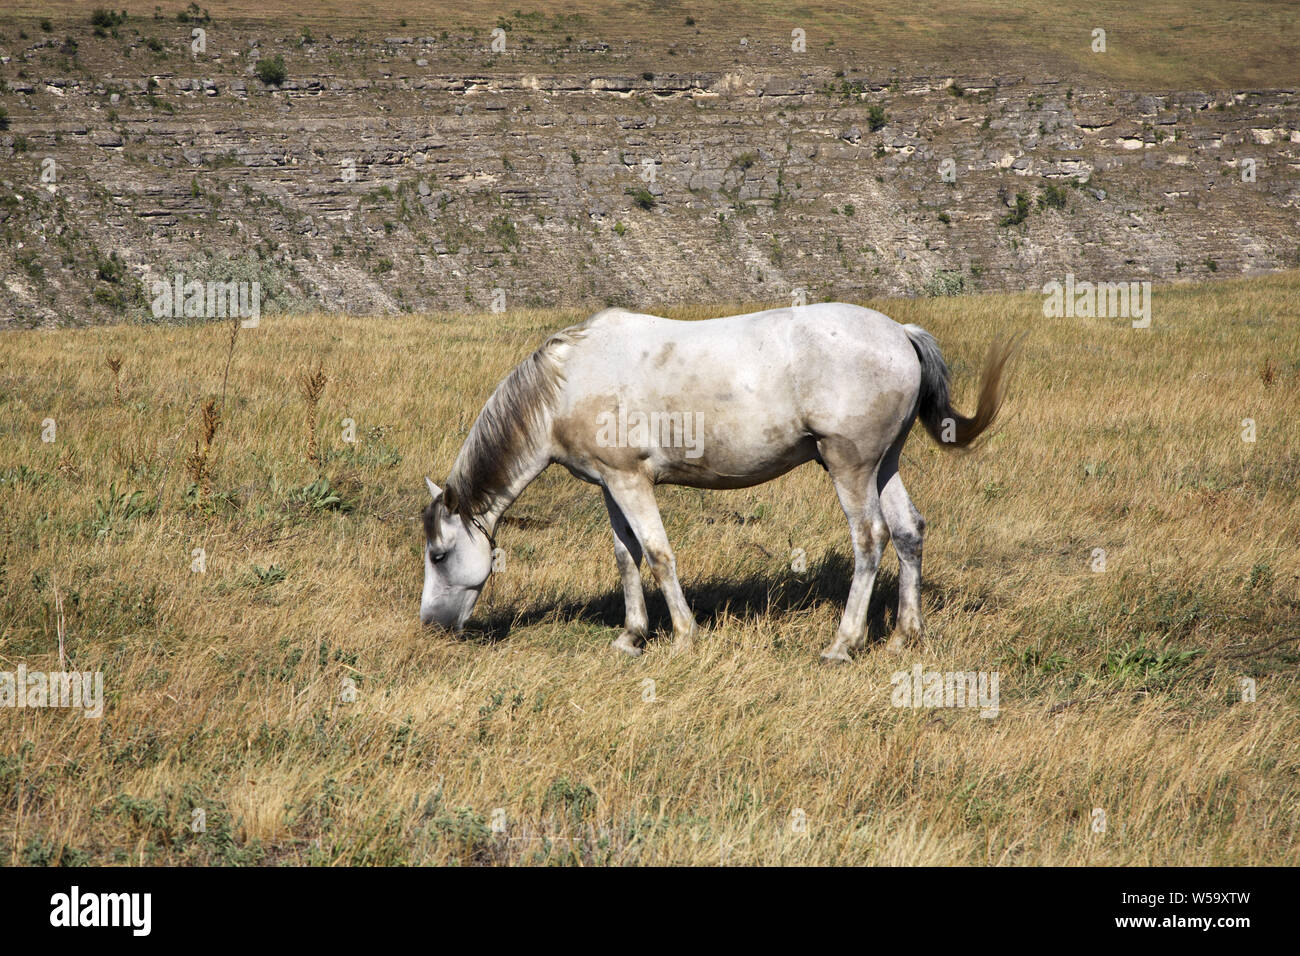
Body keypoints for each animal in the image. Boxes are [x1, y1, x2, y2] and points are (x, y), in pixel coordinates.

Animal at [420, 303, 1016, 661]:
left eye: (438, 555)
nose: (431, 623)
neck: (568, 383)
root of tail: (900, 333)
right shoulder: (611, 483)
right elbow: (626, 558)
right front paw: (631, 636)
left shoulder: (632, 482)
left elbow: (658, 555)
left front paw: (684, 637)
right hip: (883, 464)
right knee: (910, 531)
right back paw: (904, 636)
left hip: (850, 467)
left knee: (871, 539)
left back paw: (843, 643)